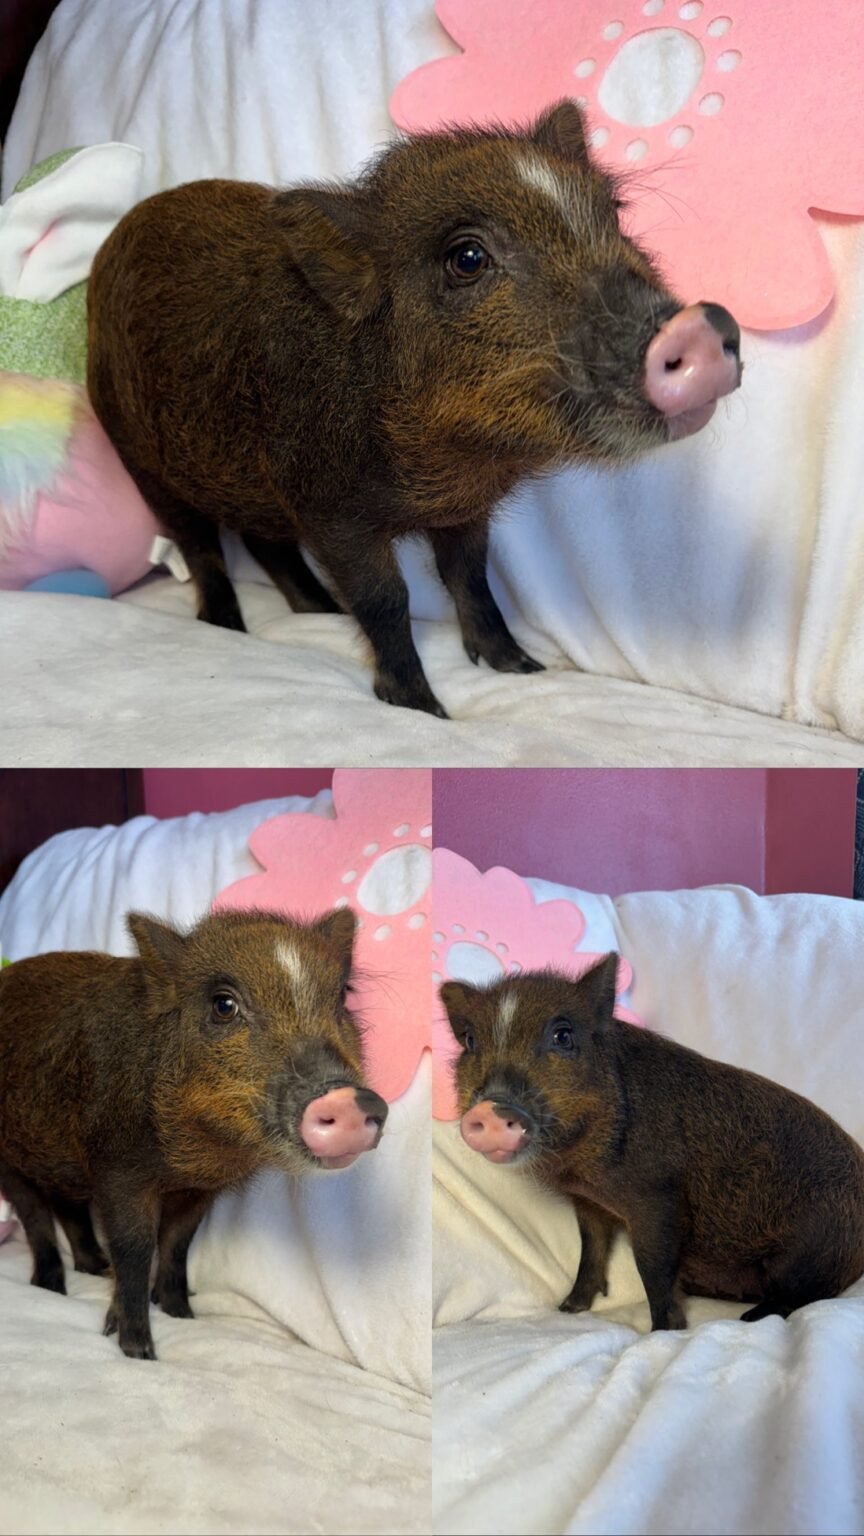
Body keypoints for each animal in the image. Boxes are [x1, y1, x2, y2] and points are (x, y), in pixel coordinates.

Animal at [0, 907, 387, 1359]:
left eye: (341, 997)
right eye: (224, 1005)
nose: (348, 1099)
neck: (197, 1157)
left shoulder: (199, 1191)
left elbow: (178, 1243)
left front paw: (182, 1315)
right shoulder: (118, 1170)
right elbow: (134, 1249)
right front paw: (138, 1351)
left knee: (67, 1207)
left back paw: (93, 1270)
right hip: (10, 1160)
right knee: (36, 1217)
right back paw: (51, 1289)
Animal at [87, 100, 742, 718]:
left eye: (613, 218)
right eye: (468, 258)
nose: (704, 326)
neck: (454, 463)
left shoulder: (464, 511)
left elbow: (470, 577)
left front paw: (520, 668)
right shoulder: (330, 510)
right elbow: (385, 599)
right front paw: (423, 708)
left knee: (266, 544)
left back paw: (317, 613)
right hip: (140, 458)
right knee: (200, 547)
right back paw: (229, 627)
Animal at [440, 955, 864, 1329]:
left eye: (563, 1035)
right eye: (470, 1041)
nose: (491, 1107)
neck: (580, 1168)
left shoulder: (657, 1194)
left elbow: (653, 1267)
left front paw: (663, 1330)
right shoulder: (589, 1203)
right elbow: (590, 1249)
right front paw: (569, 1308)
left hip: (810, 1249)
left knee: (803, 1295)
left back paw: (750, 1318)